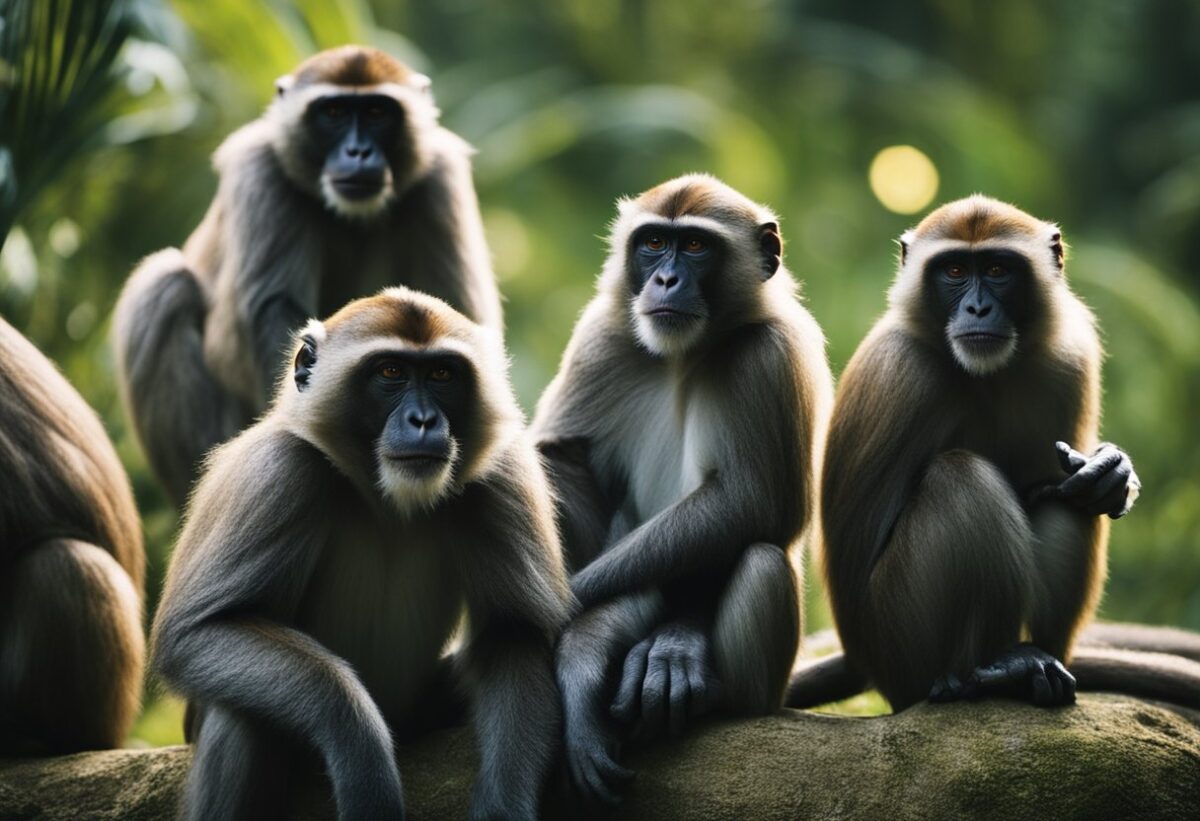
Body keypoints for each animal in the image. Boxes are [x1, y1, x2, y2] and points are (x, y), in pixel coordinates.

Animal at [114, 45, 502, 506]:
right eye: (333, 112)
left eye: (377, 112)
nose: (358, 152)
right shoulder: (261, 166)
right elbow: (273, 307)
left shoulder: (439, 175)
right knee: (164, 286)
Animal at [151, 288, 568, 821]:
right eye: (390, 373)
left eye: (442, 374)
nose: (423, 421)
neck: (384, 499)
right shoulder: (280, 468)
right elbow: (196, 634)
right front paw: (362, 756)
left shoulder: (499, 474)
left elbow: (511, 634)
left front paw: (503, 806)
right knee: (240, 719)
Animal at [532, 174, 833, 803]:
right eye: (653, 243)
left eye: (695, 247)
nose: (665, 279)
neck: (682, 354)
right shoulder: (601, 337)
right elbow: (556, 454)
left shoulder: (769, 354)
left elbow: (756, 506)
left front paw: (638, 639)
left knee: (761, 558)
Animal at [785, 195, 1200, 714]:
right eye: (955, 270)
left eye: (999, 270)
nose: (978, 307)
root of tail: (869, 668)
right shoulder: (902, 370)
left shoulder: (1069, 355)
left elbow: (1062, 479)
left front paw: (1114, 474)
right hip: (901, 647)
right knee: (962, 480)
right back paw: (989, 674)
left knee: (1067, 498)